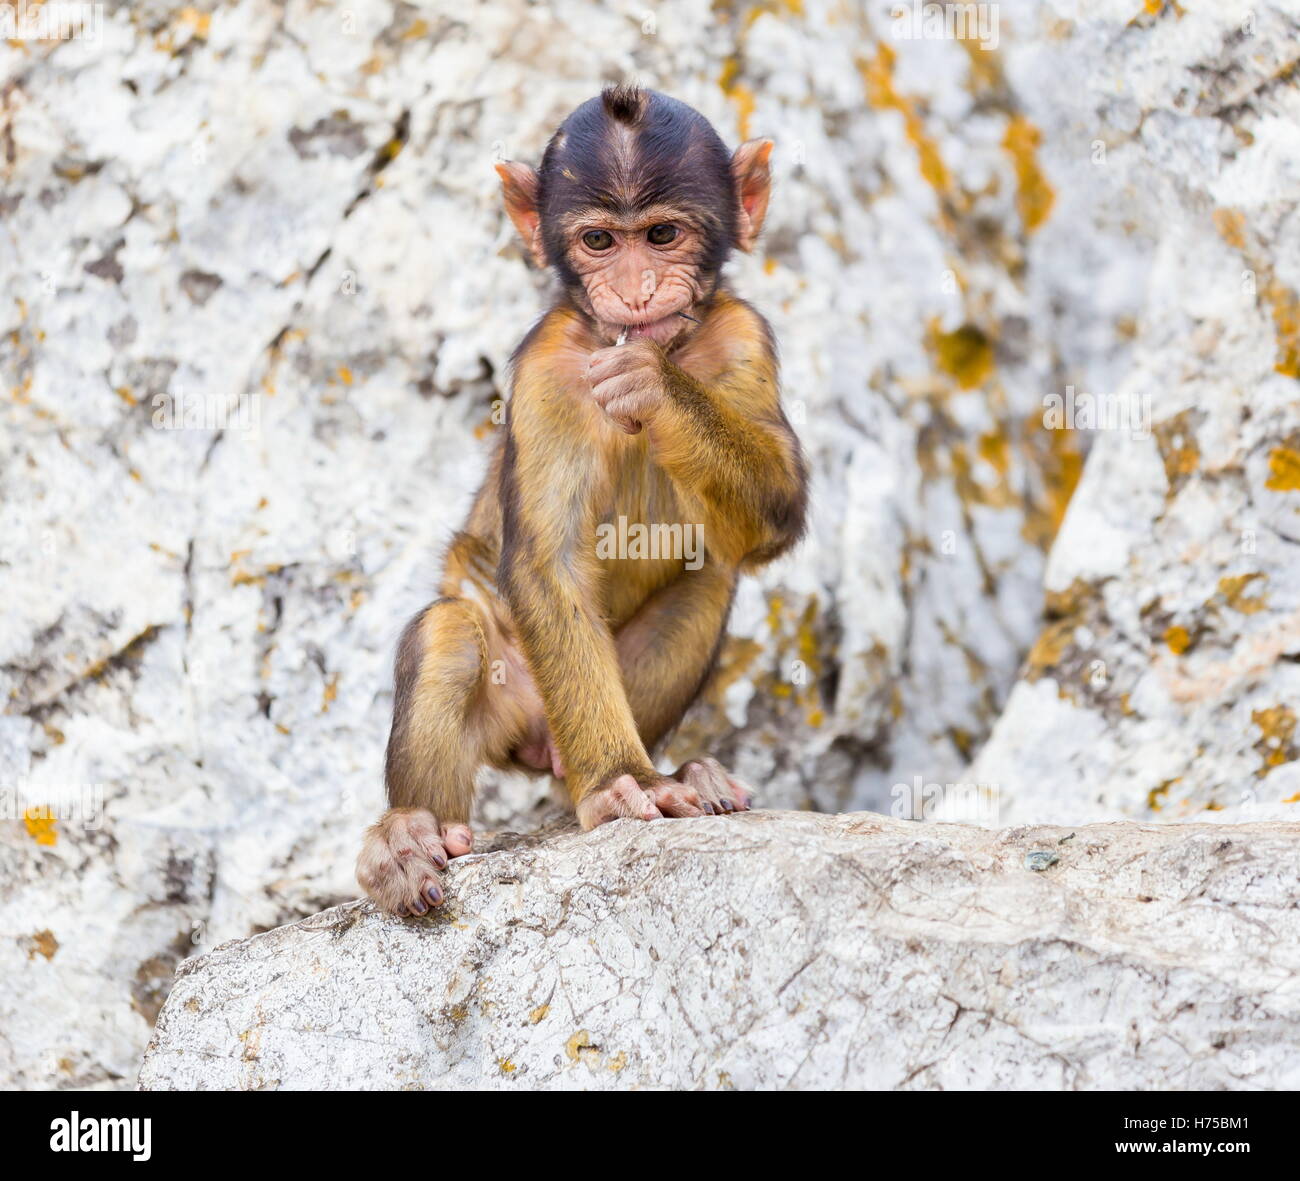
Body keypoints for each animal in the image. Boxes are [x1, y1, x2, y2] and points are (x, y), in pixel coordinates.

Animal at [357, 85, 807, 916]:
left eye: (661, 234)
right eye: (599, 240)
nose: (633, 291)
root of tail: (543, 741)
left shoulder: (743, 334)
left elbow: (775, 520)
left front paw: (655, 388)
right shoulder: (547, 368)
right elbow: (545, 560)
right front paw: (622, 780)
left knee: (712, 567)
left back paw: (672, 775)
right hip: (520, 691)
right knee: (451, 630)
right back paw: (411, 835)